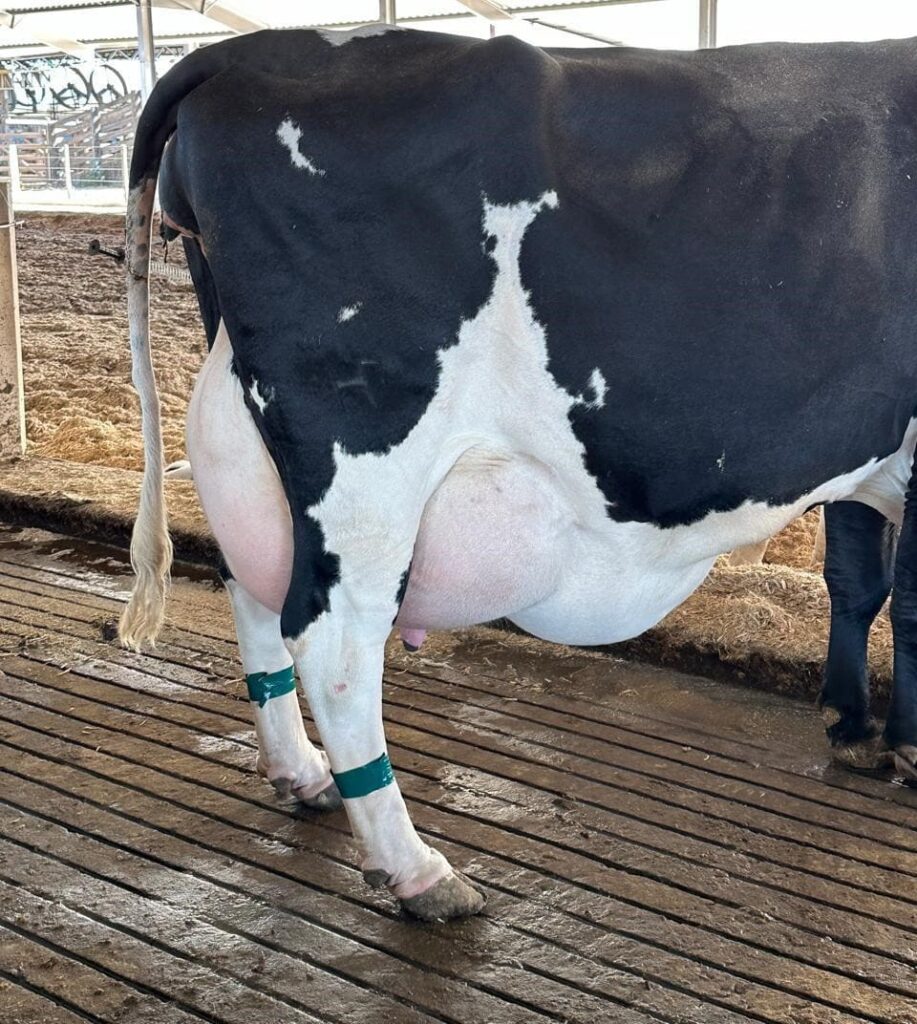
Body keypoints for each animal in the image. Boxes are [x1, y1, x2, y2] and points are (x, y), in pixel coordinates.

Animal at [120, 25, 917, 921]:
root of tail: (241, 51)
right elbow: (911, 602)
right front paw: (904, 747)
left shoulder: (871, 434)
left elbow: (857, 580)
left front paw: (851, 728)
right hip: (365, 459)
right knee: (334, 642)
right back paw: (419, 871)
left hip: (257, 444)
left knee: (250, 587)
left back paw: (303, 776)